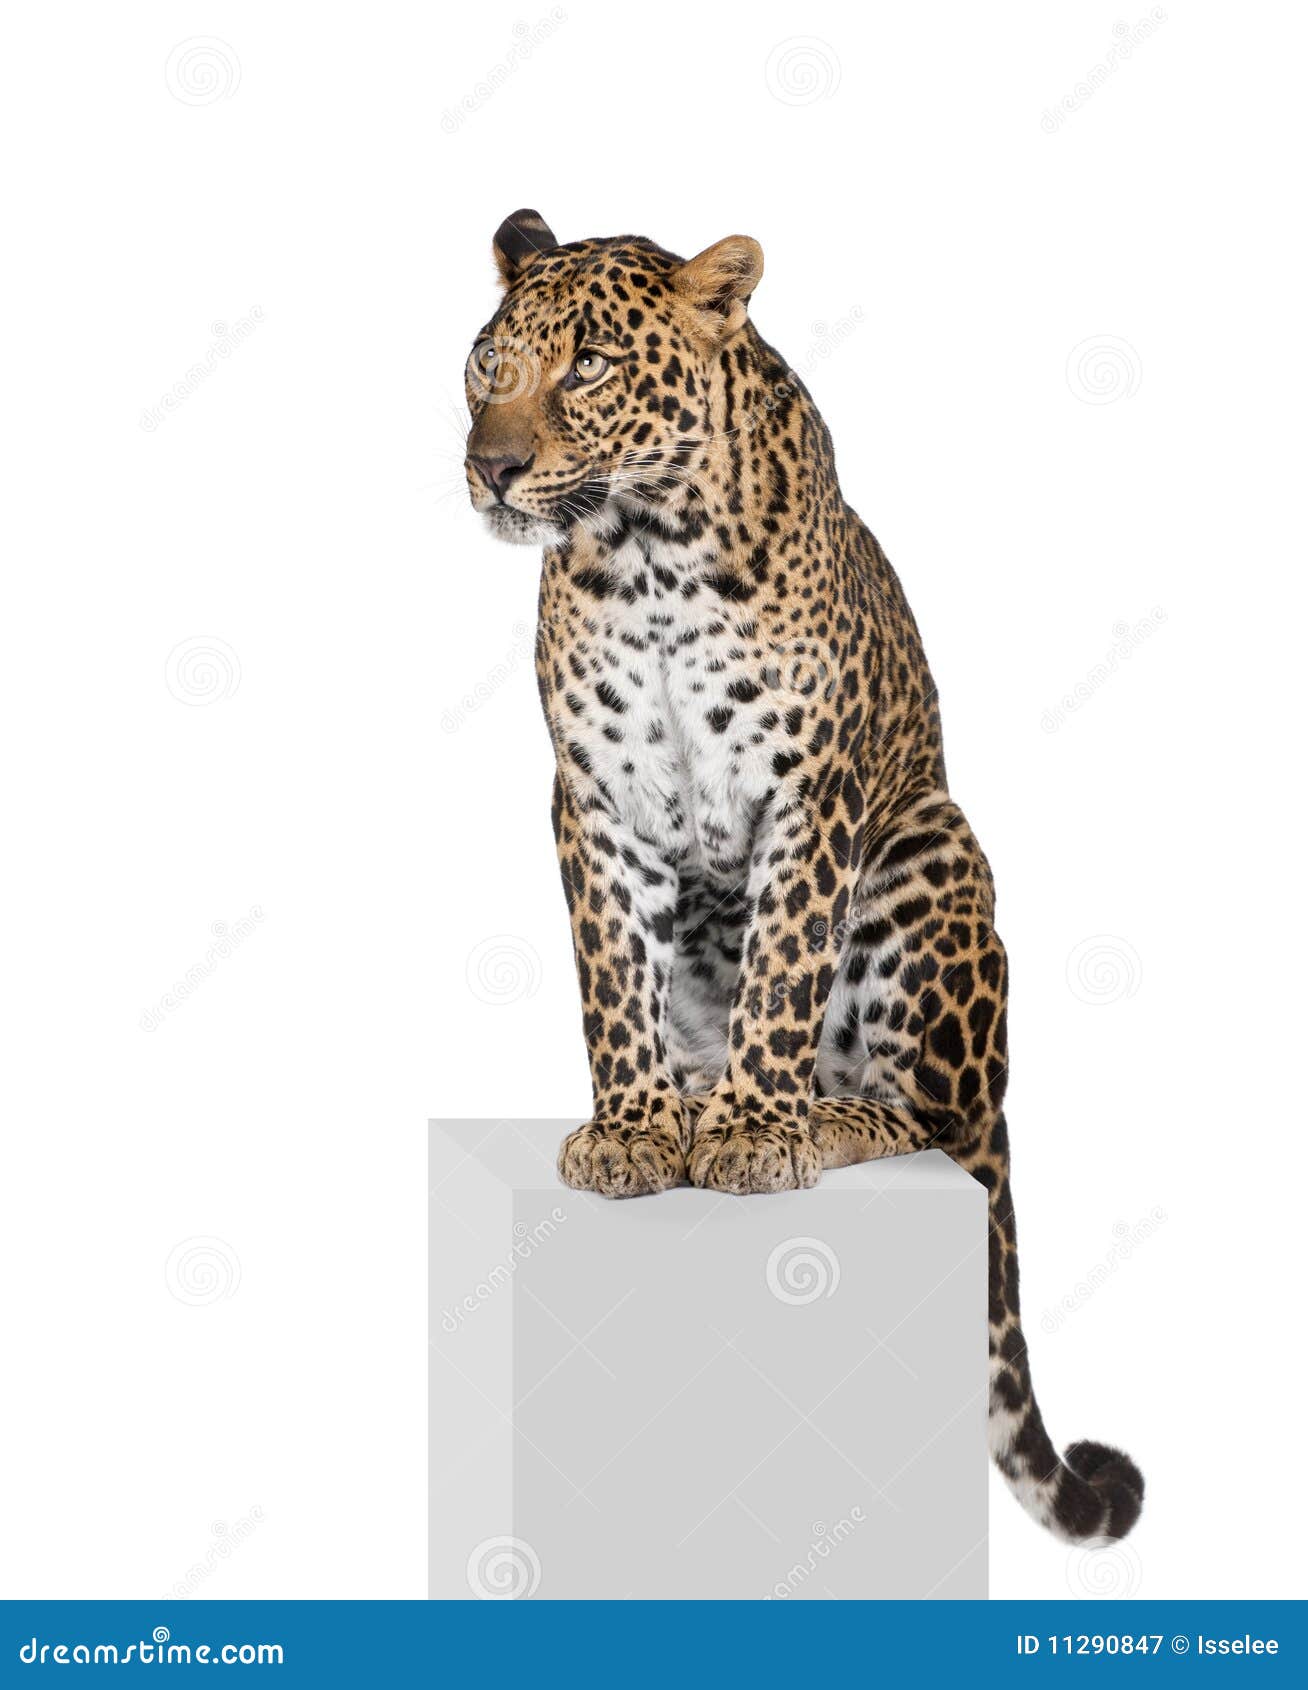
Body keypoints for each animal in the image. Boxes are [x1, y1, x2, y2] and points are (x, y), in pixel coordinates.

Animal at [462, 208, 1144, 1545]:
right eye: (487, 366)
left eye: (588, 365)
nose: (492, 467)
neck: (647, 557)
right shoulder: (594, 799)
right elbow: (610, 981)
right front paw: (633, 1130)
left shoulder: (810, 791)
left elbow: (782, 970)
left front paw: (756, 1133)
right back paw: (692, 1096)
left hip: (931, 856)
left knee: (925, 1111)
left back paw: (815, 1113)